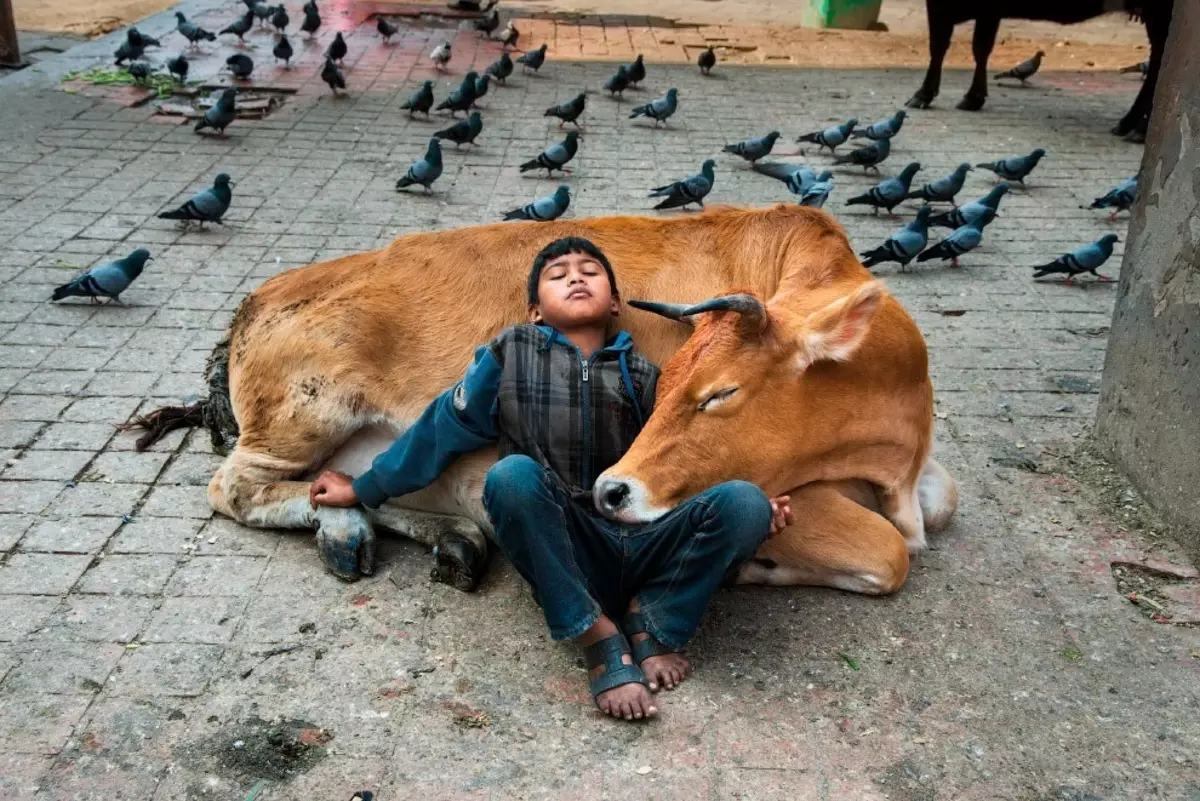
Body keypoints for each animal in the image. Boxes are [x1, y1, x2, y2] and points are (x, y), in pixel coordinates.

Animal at [131, 206, 955, 594]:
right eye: (678, 384)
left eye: (721, 392)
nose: (614, 490)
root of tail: (263, 293)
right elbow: (888, 550)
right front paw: (757, 566)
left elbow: (942, 505)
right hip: (306, 410)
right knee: (236, 487)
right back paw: (347, 526)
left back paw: (448, 536)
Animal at [907, 0, 1171, 140]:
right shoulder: (989, 9)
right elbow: (981, 47)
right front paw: (975, 96)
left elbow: (939, 45)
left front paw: (923, 94)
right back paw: (1129, 124)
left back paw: (1139, 129)